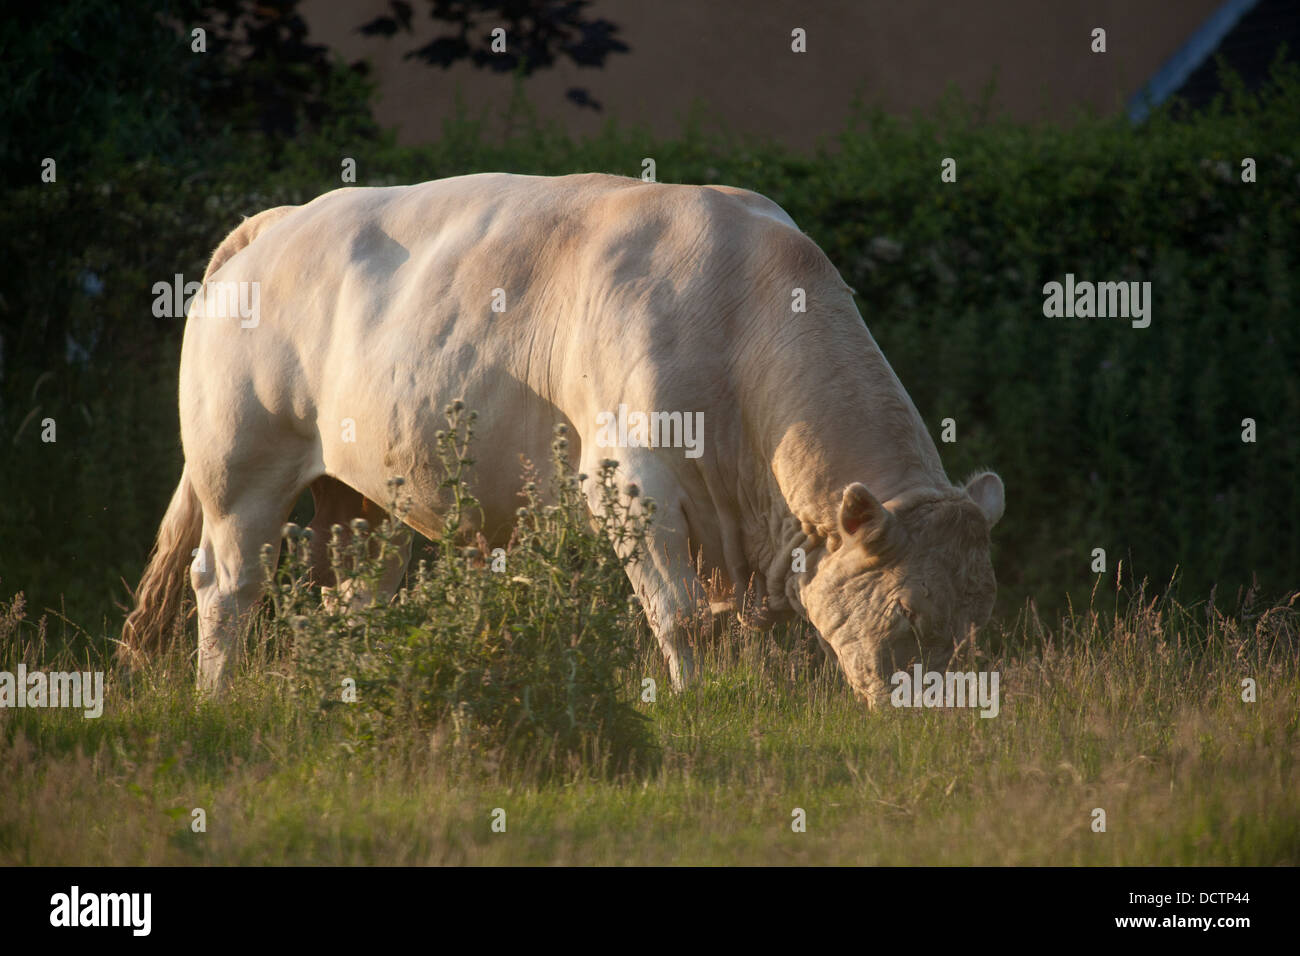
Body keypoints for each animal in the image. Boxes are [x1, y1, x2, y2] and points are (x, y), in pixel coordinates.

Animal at [122, 172, 1004, 706]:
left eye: (975, 620)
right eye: (906, 615)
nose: (934, 721)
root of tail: (276, 222)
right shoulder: (632, 479)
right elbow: (682, 616)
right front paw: (693, 702)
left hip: (361, 493)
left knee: (355, 591)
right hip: (240, 466)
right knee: (228, 584)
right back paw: (214, 694)